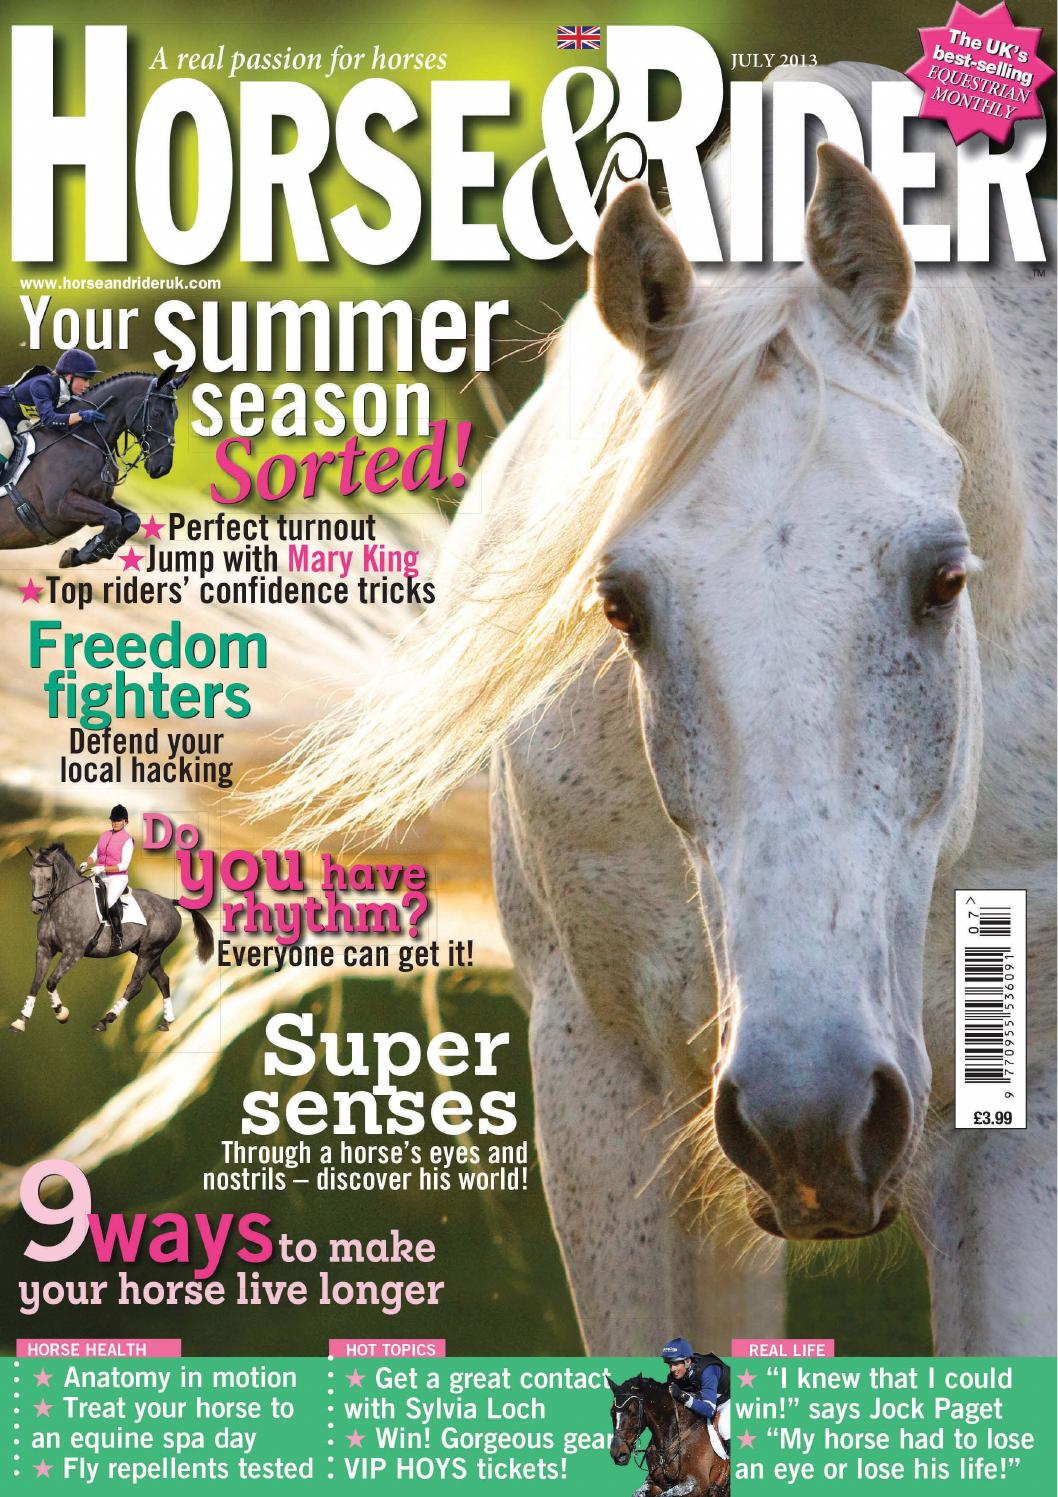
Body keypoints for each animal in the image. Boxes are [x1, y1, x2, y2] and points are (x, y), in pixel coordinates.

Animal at [0, 366, 188, 567]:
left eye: (176, 415)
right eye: (157, 413)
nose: (162, 467)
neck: (86, 440)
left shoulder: (101, 500)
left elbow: (131, 521)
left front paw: (94, 552)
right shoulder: (60, 506)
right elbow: (114, 519)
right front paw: (85, 553)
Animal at [11, 843, 214, 1033]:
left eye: (47, 878)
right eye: (31, 876)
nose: (36, 908)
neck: (64, 902)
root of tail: (168, 902)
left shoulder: (73, 953)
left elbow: (51, 981)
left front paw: (61, 1013)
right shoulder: (44, 948)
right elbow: (36, 982)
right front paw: (21, 1022)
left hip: (149, 951)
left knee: (135, 985)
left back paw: (104, 1021)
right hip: (149, 953)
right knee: (163, 980)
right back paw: (166, 1022)